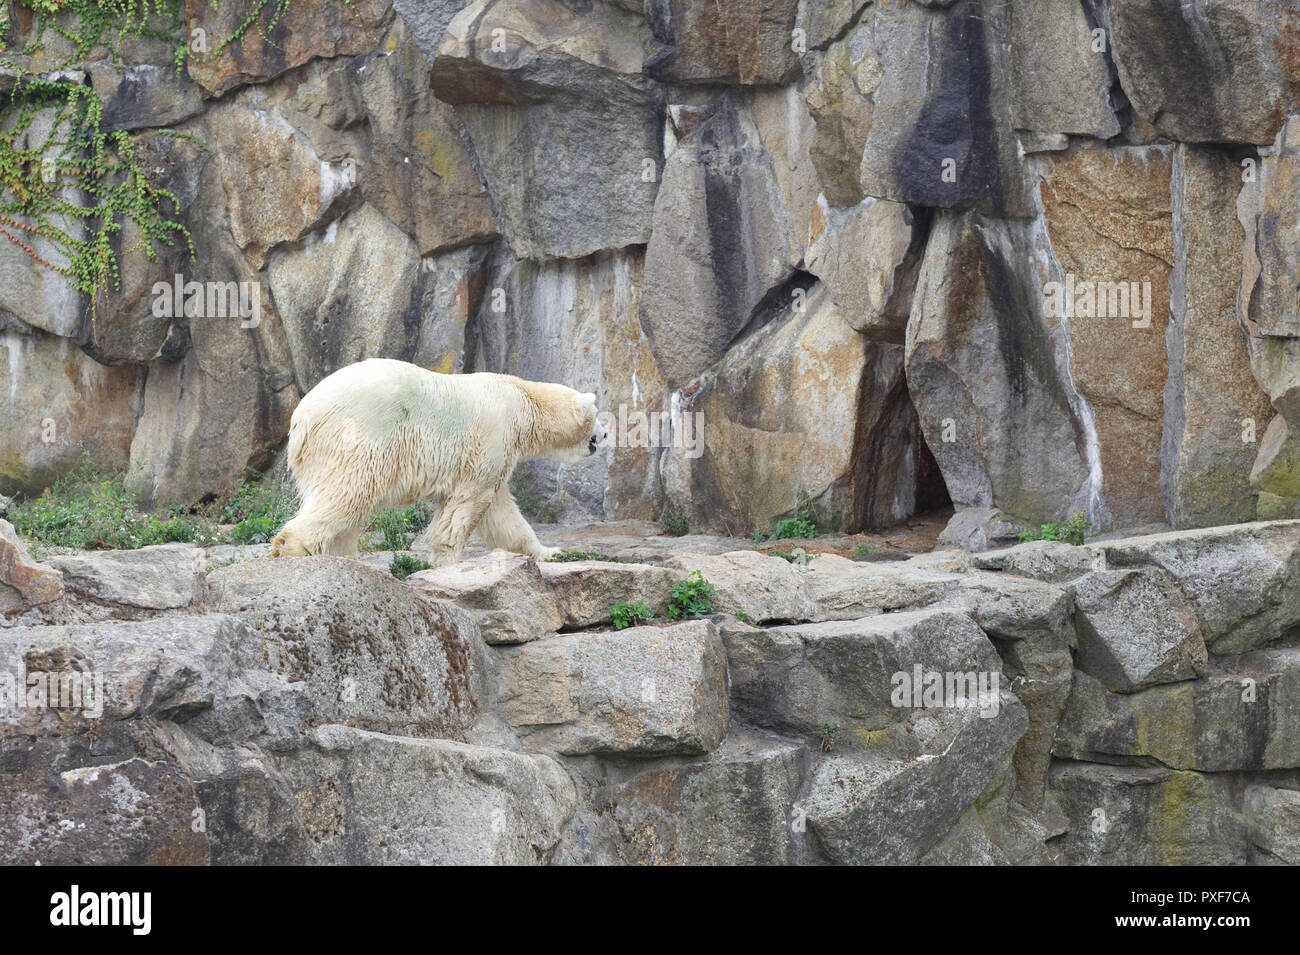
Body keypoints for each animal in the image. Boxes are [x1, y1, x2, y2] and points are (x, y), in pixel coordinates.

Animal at [270, 358, 603, 566]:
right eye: (597, 415)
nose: (604, 435)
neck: (521, 398)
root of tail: (303, 417)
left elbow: (502, 515)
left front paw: (550, 551)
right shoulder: (494, 434)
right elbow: (469, 503)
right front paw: (448, 563)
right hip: (361, 437)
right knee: (348, 492)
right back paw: (292, 549)